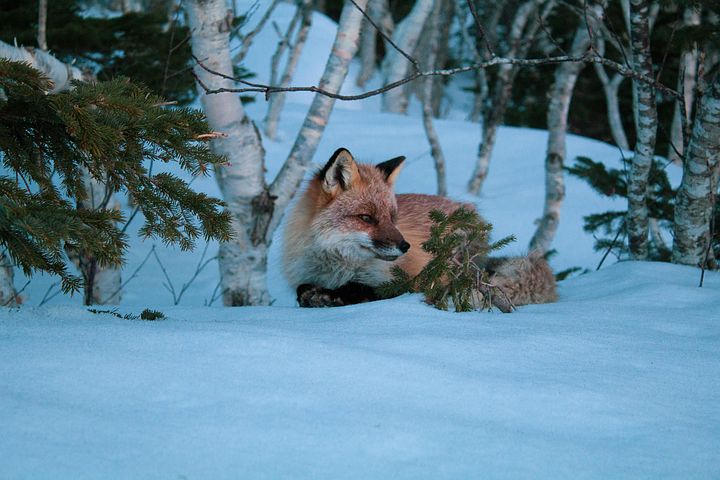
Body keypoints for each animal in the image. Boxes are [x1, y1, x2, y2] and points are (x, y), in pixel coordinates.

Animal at [283, 148, 557, 311]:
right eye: (366, 218)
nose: (406, 246)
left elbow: (363, 289)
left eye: (392, 217)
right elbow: (302, 288)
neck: (337, 266)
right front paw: (315, 295)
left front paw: (333, 296)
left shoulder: (404, 282)